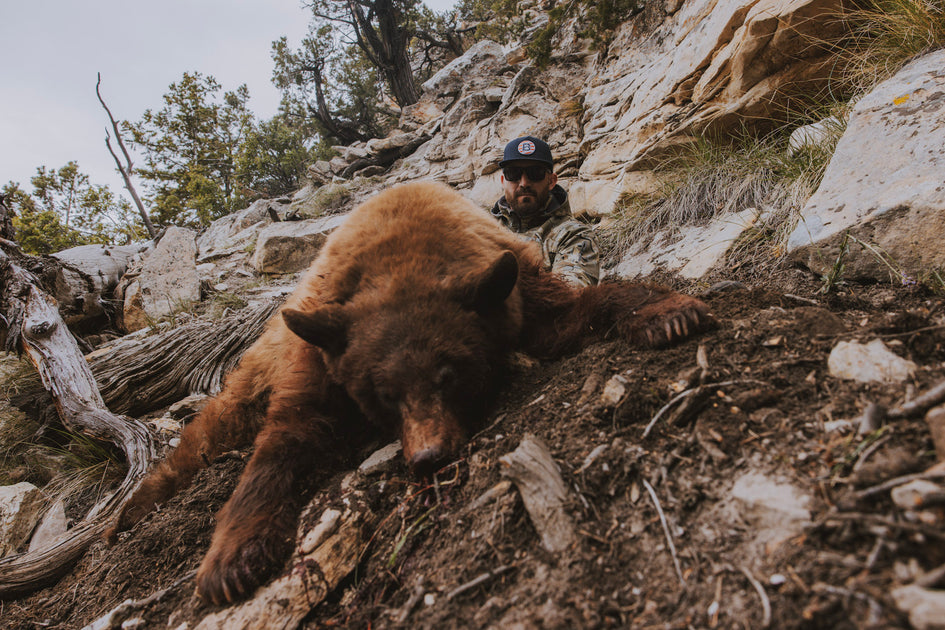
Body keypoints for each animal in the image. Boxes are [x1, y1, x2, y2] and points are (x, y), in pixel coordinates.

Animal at [108, 181, 711, 605]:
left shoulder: (511, 288)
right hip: (262, 362)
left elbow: (573, 312)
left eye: (451, 374)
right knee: (213, 428)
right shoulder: (323, 349)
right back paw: (133, 507)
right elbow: (290, 435)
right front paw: (230, 562)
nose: (428, 456)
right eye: (385, 394)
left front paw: (666, 312)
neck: (404, 244)